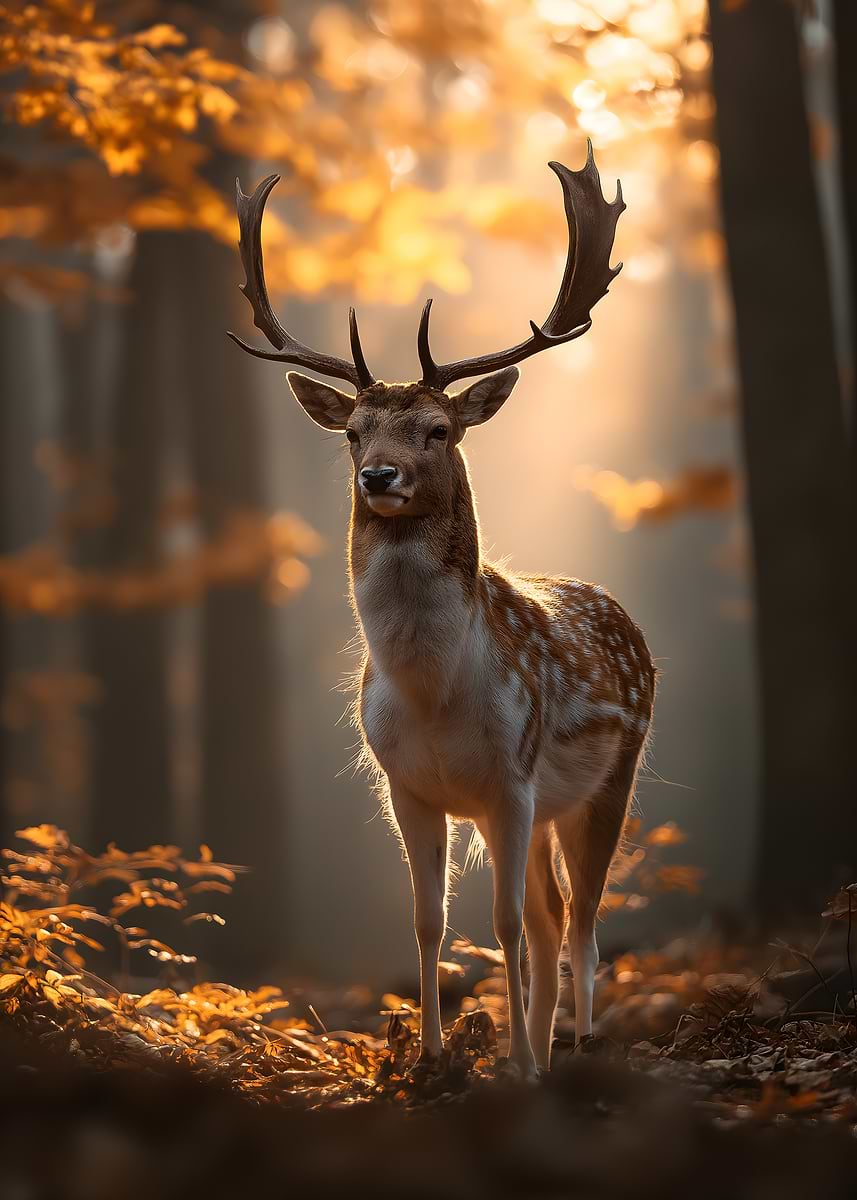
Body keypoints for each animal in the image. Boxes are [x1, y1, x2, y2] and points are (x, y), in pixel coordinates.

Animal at [227, 143, 655, 1080]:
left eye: (438, 430)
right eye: (353, 430)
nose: (377, 476)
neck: (433, 691)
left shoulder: (510, 777)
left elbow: (504, 925)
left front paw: (516, 1063)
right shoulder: (407, 787)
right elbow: (431, 924)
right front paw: (428, 1061)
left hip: (610, 776)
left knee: (579, 923)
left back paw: (572, 1047)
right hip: (546, 807)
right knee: (551, 915)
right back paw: (541, 1050)